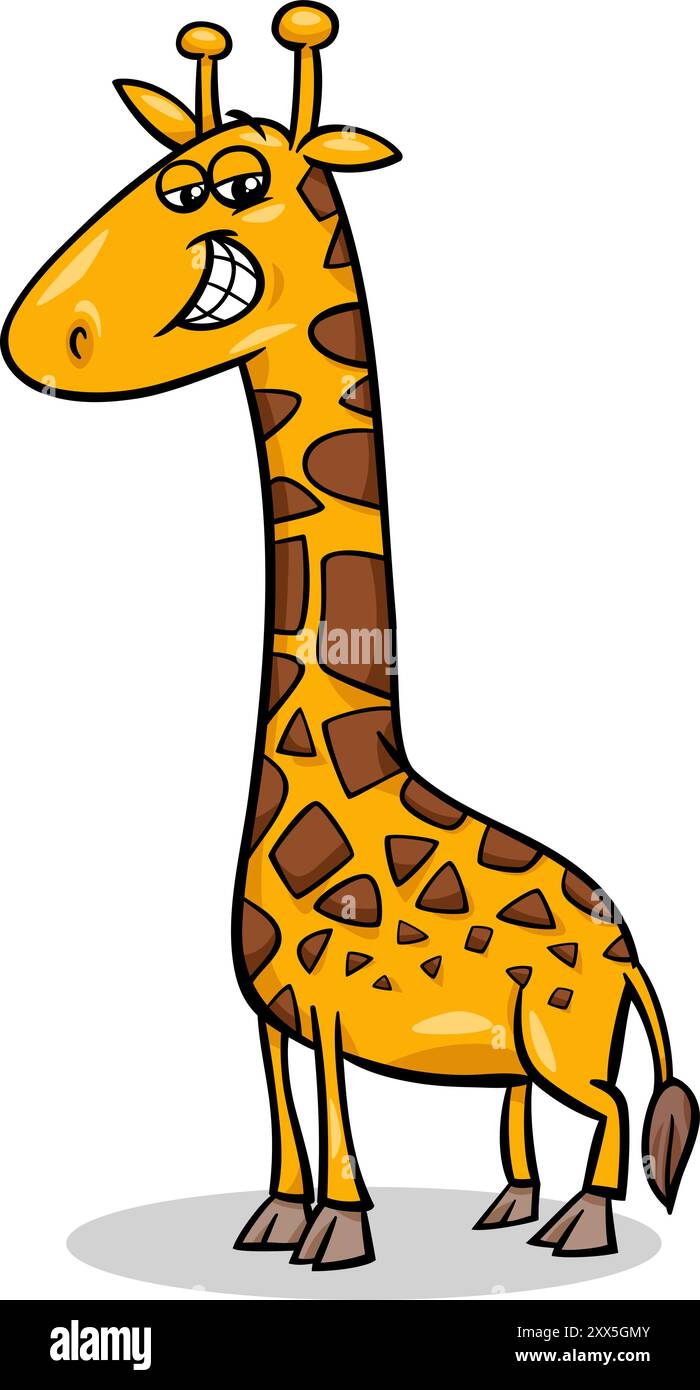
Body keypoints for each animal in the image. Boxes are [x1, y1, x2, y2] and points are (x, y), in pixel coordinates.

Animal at [3, 6, 698, 1273]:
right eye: (153, 173)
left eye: (231, 185)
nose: (44, 336)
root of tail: (629, 940)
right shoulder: (271, 1009)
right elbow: (285, 1102)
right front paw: (274, 1221)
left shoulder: (328, 996)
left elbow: (328, 1106)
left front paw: (338, 1231)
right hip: (523, 1046)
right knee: (524, 1107)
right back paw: (508, 1204)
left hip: (568, 1031)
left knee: (619, 1102)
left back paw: (577, 1224)